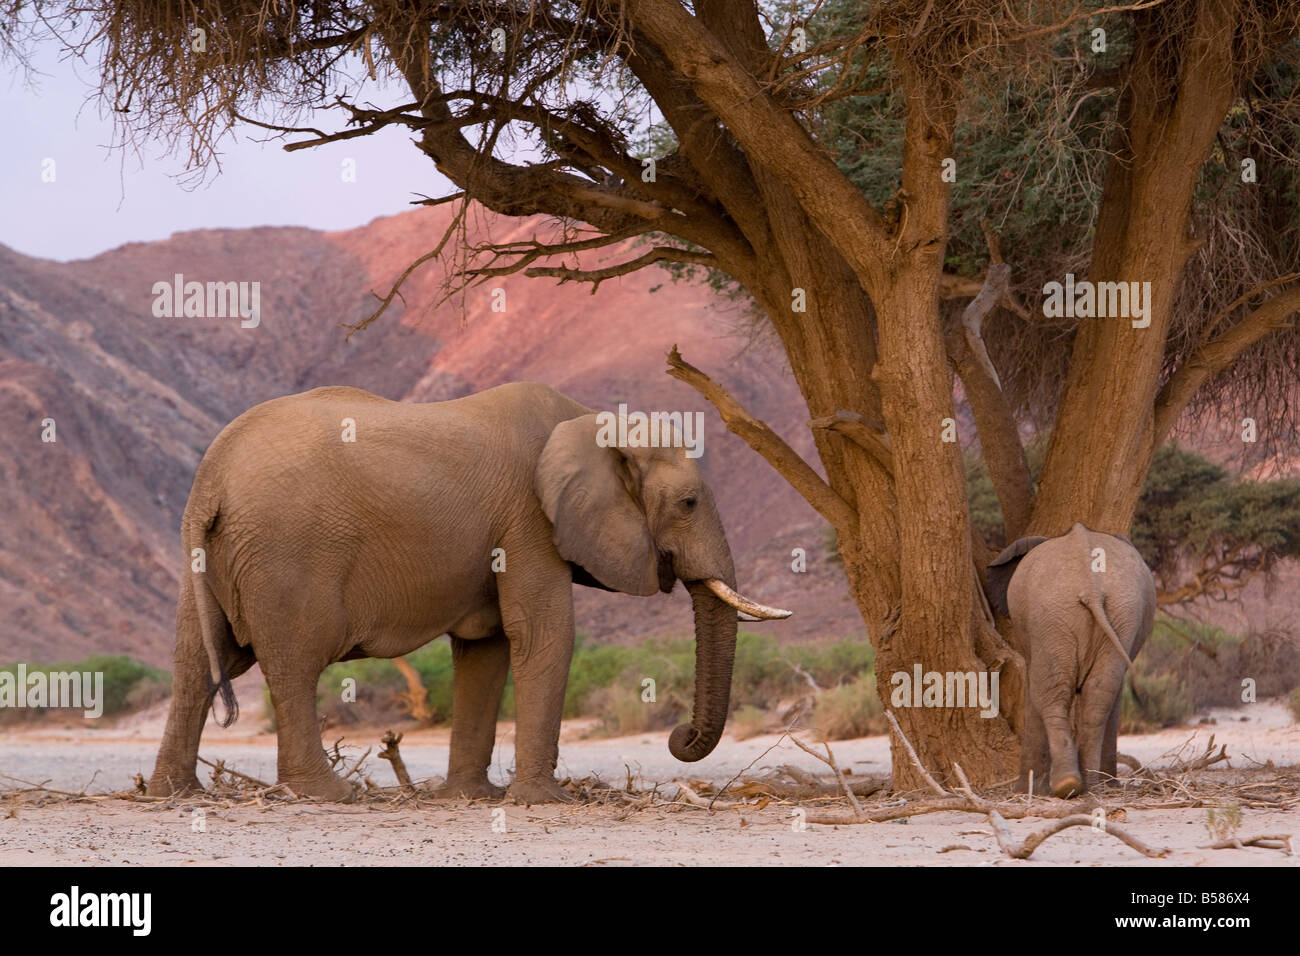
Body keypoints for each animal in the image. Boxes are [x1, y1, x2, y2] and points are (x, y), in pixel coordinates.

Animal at [146, 382, 790, 804]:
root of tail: (210, 477)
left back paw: (175, 792)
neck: (593, 420)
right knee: (295, 662)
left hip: (215, 555)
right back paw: (331, 794)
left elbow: (488, 647)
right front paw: (540, 803)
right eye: (689, 503)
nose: (680, 735)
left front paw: (472, 797)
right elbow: (544, 633)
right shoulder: (529, 520)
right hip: (287, 550)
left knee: (197, 660)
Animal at [986, 523, 1155, 798]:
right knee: (1099, 695)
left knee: (1051, 694)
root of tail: (1092, 587)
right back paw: (1089, 785)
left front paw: (1025, 791)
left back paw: (1067, 785)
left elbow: (1034, 694)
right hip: (1121, 613)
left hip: (1051, 617)